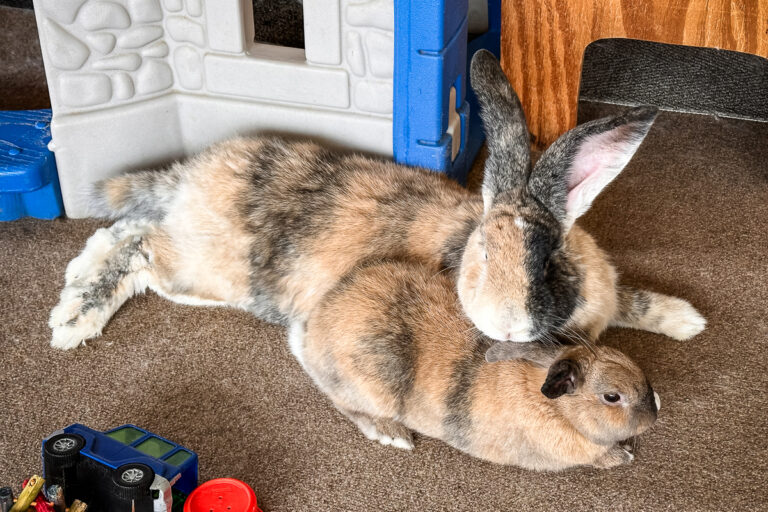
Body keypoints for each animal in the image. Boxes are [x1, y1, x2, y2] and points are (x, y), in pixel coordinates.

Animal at [49, 50, 705, 349]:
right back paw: (72, 320)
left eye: (547, 264)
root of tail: (189, 175)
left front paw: (686, 320)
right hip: (200, 267)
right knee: (135, 241)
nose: (508, 326)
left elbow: (634, 302)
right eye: (480, 257)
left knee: (123, 233)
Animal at [292, 259, 660, 471]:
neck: (557, 409)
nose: (656, 408)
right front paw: (622, 457)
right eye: (612, 397)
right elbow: (600, 457)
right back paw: (393, 435)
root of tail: (315, 328)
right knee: (347, 406)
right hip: (372, 388)